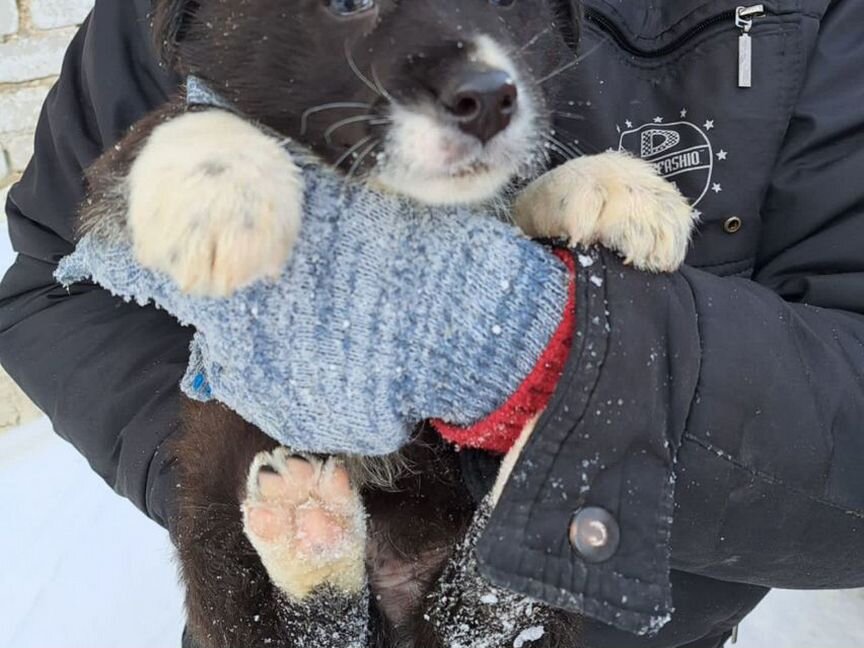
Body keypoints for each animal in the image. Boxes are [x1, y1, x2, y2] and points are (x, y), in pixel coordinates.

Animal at [79, 1, 696, 648]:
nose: (488, 99)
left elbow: (508, 203)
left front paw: (609, 187)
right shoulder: (111, 174)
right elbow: (183, 118)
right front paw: (220, 191)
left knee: (483, 612)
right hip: (209, 498)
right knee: (285, 624)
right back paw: (309, 536)